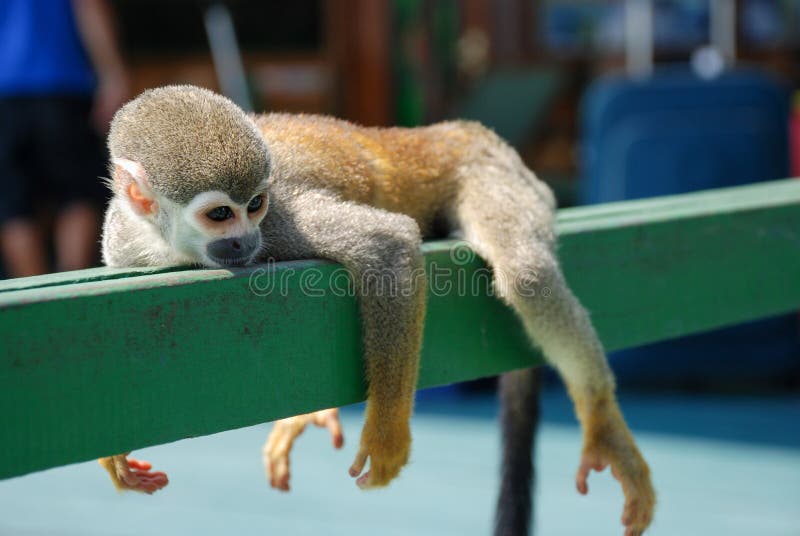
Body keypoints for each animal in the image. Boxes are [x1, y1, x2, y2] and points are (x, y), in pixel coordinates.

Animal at [98, 85, 654, 535]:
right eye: (219, 214)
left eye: (254, 205)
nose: (244, 242)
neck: (168, 243)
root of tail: (454, 130)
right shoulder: (120, 244)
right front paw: (113, 450)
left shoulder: (283, 223)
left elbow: (388, 244)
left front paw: (386, 431)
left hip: (494, 168)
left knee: (527, 274)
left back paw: (601, 415)